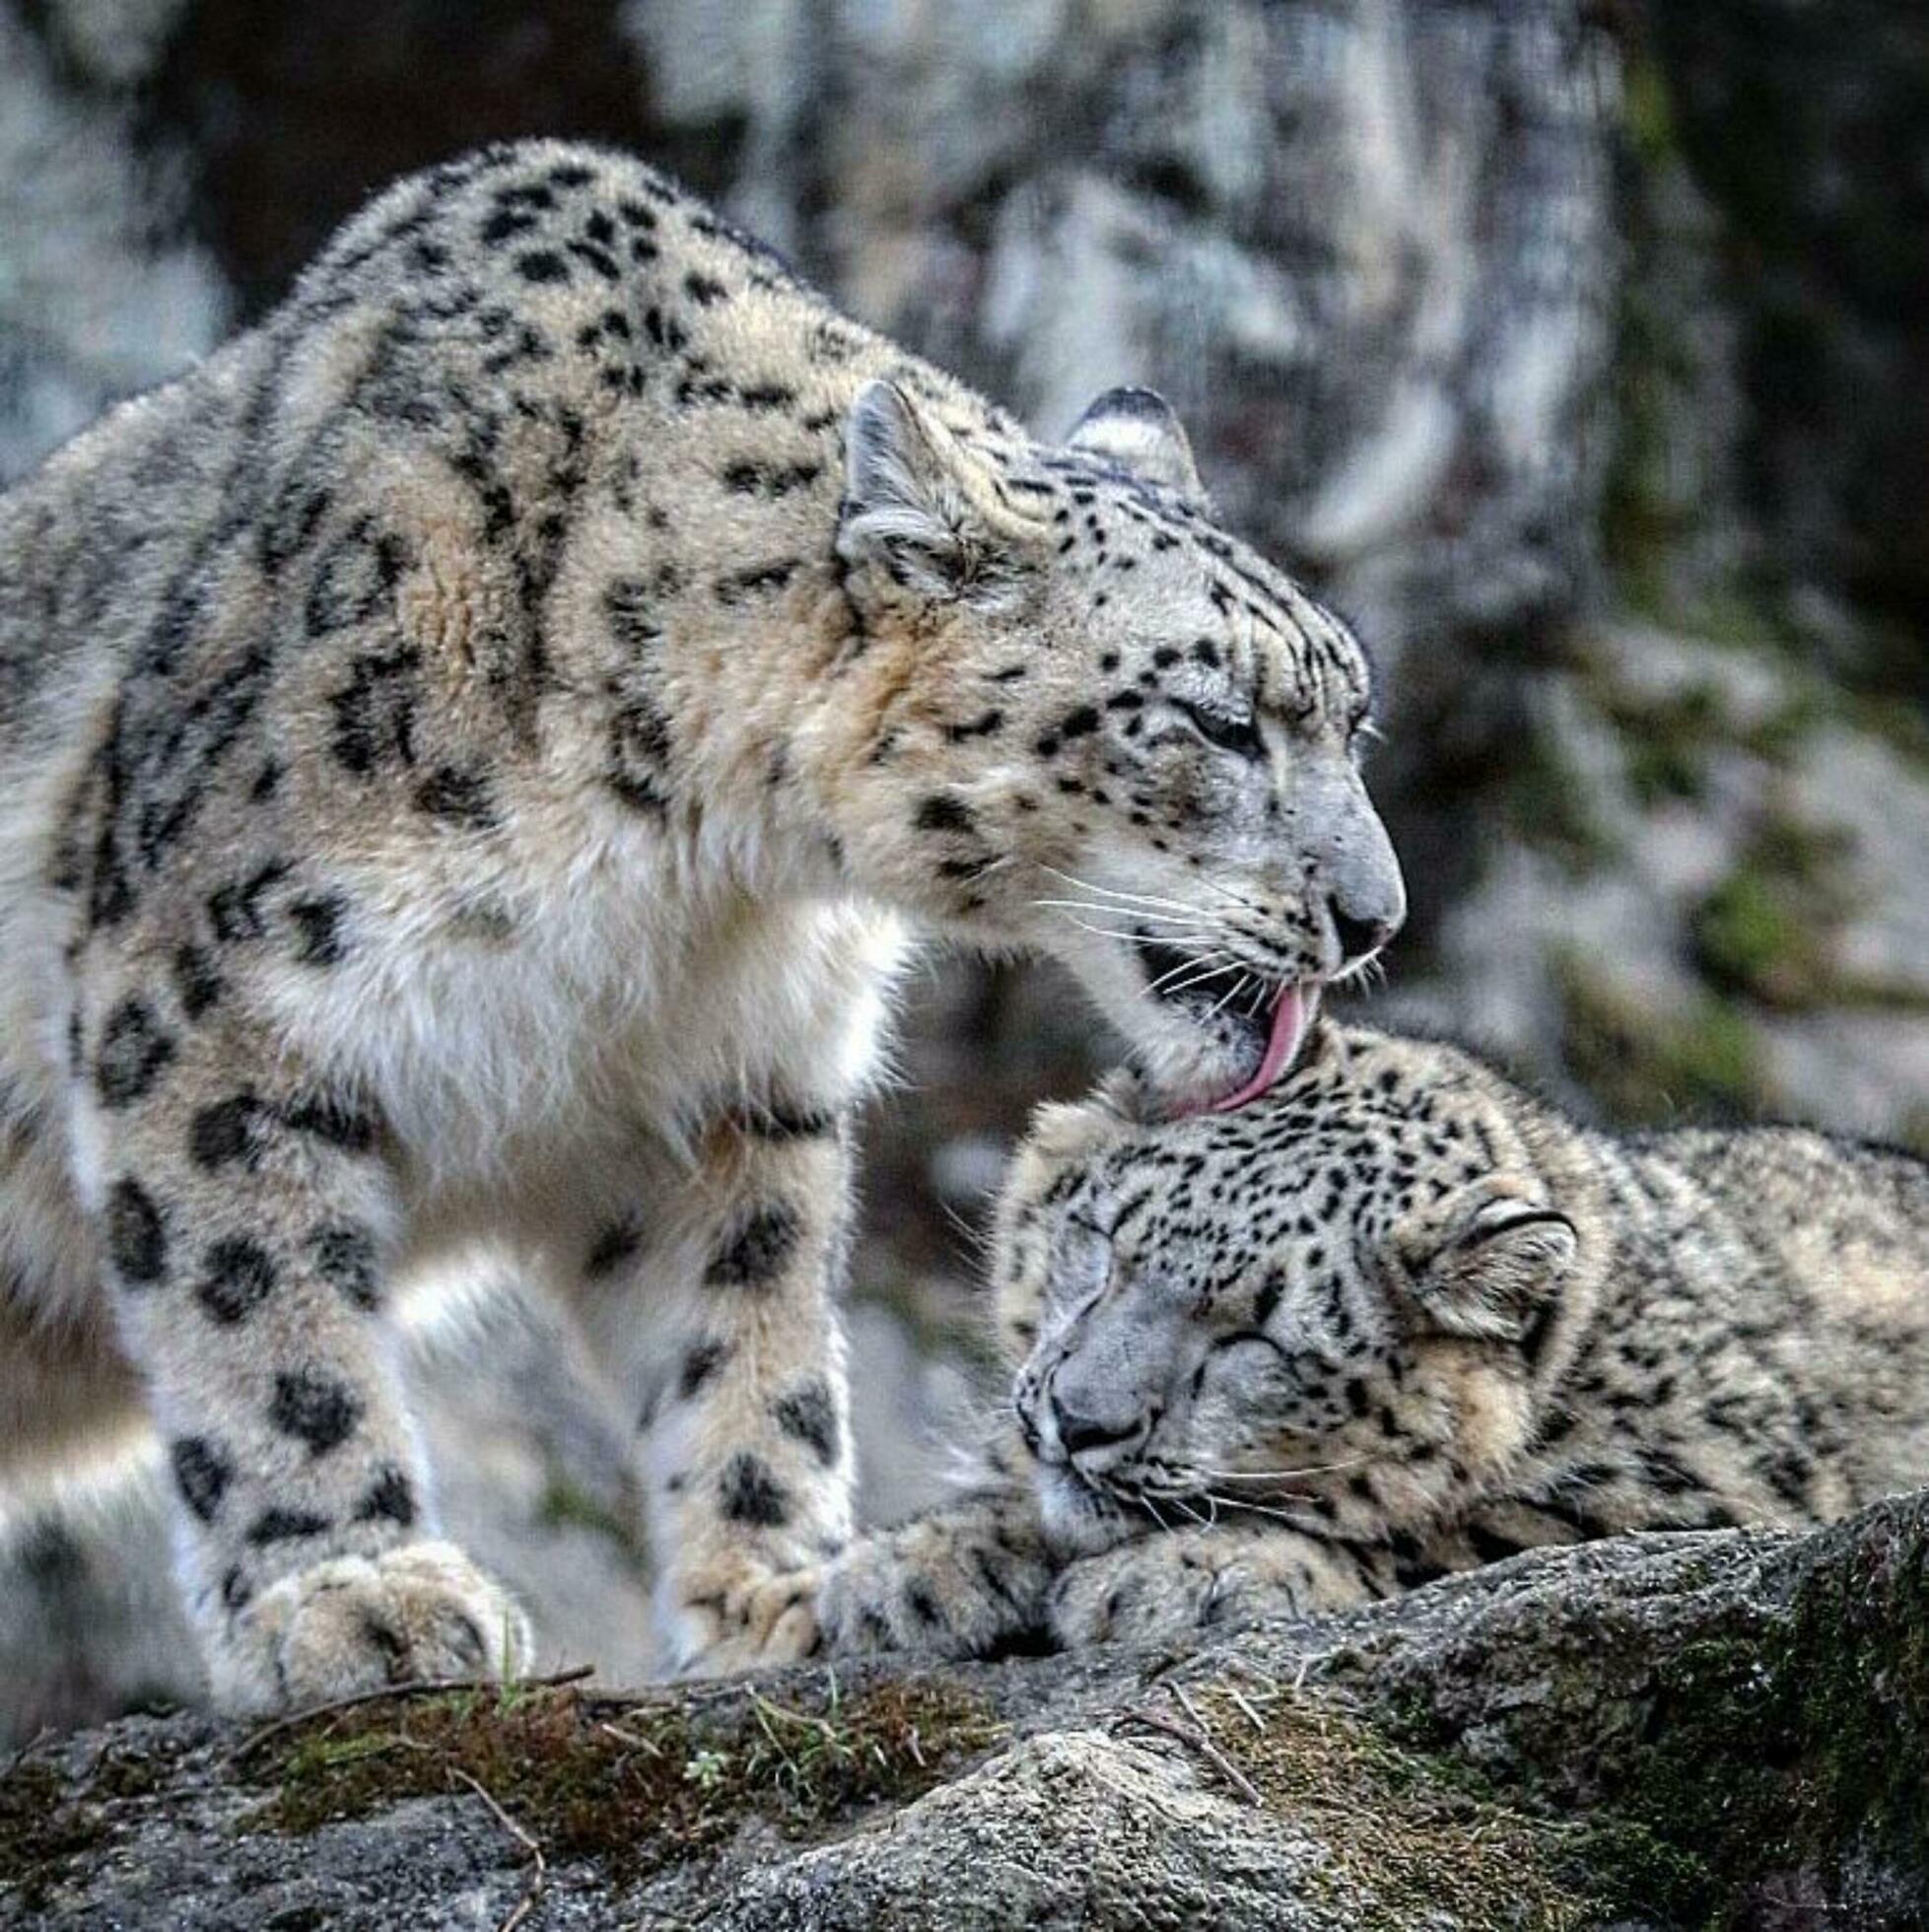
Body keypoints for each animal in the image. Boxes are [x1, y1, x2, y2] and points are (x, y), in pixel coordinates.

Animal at [0, 138, 1403, 1713]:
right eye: (1218, 720)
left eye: (1353, 720)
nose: (1376, 912)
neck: (687, 872)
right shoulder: (212, 998)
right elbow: (264, 1314)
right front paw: (355, 1592)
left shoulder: (733, 1081)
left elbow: (747, 1343)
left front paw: (800, 1594)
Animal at [770, 1019, 1929, 1659]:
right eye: (1101, 1245)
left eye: (1256, 1339)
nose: (1075, 1418)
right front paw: (904, 1571)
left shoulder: (1715, 1490)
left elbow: (1456, 1530)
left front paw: (1181, 1574)